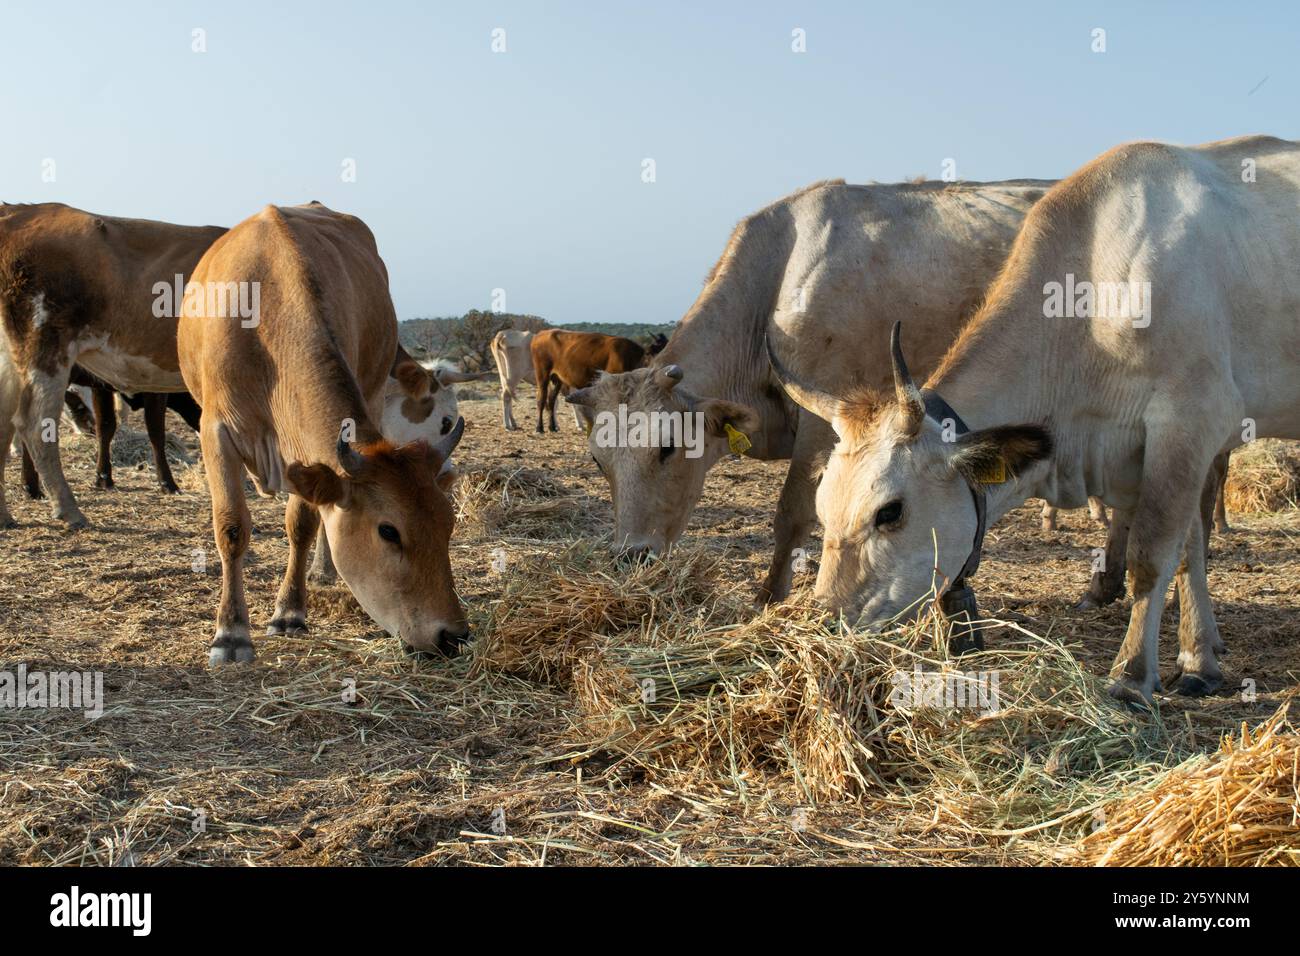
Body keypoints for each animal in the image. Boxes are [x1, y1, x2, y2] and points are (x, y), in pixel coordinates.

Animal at [177, 202, 468, 664]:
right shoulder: (215, 430)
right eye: (388, 531)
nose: (453, 636)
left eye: (448, 522)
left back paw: (323, 569)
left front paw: (289, 612)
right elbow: (231, 527)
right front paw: (231, 632)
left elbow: (302, 523)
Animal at [565, 178, 1062, 604]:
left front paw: (767, 599)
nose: (630, 557)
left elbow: (792, 515)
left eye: (668, 448)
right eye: (598, 460)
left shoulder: (825, 419)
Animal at [767, 136, 1300, 706]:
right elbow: (1187, 552)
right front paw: (1199, 659)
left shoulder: (1190, 419)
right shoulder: (1156, 452)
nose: (824, 623)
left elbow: (1153, 555)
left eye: (889, 512)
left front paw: (1132, 675)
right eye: (823, 507)